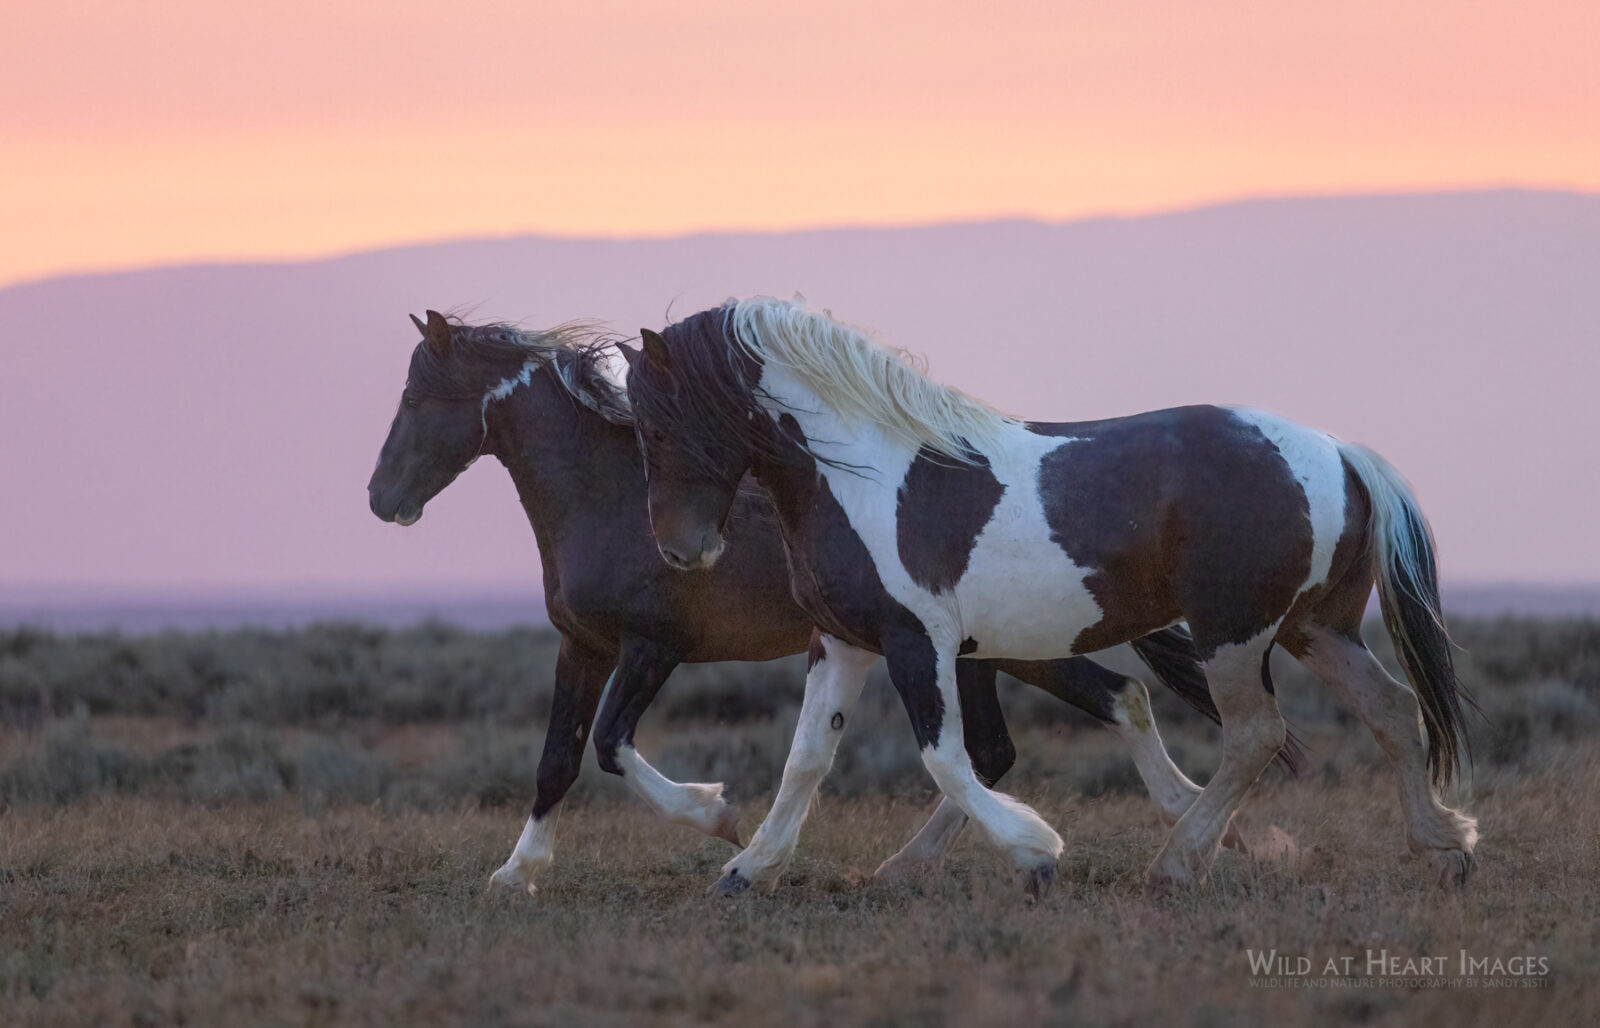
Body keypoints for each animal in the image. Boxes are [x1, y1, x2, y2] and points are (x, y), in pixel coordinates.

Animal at [366, 310, 1248, 894]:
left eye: (414, 396)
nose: (381, 499)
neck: (606, 497)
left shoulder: (652, 650)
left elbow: (612, 748)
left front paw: (717, 817)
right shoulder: (580, 648)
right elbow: (557, 759)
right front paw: (516, 873)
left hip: (1001, 650)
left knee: (1107, 703)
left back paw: (1174, 829)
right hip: (979, 653)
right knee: (1041, 731)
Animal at [625, 296, 1479, 893]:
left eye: (660, 425)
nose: (681, 549)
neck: (867, 476)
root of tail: (1340, 452)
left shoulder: (920, 641)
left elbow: (946, 758)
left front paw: (1035, 852)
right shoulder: (842, 640)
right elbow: (807, 758)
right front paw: (746, 871)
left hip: (1234, 633)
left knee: (1256, 736)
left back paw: (1177, 865)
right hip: (1315, 627)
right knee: (1392, 710)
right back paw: (1444, 847)